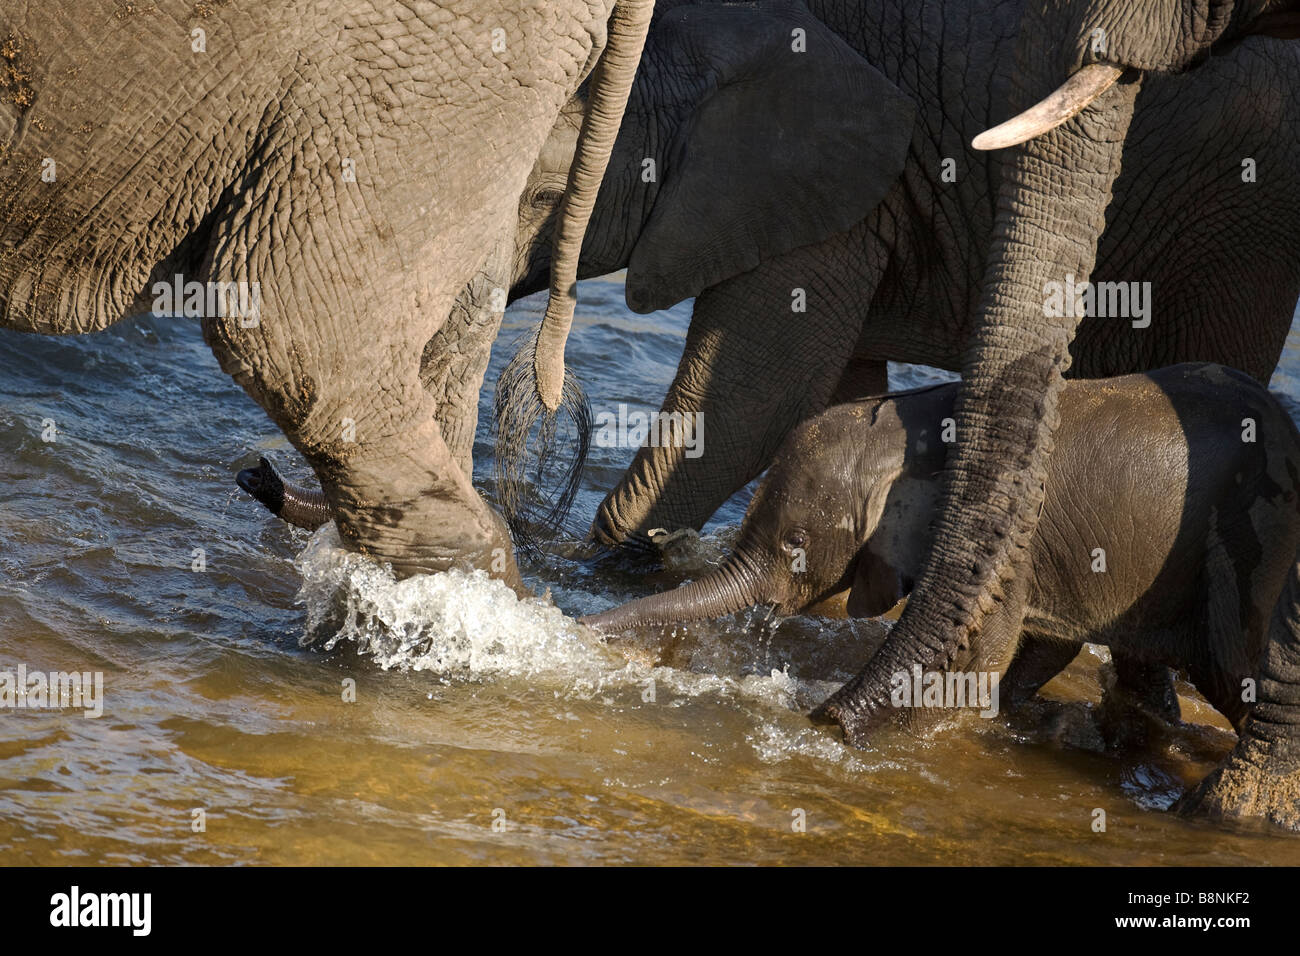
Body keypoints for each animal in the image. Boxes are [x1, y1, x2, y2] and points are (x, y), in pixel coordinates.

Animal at [582, 363, 1300, 828]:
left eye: (795, 541)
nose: (580, 628)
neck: (904, 426)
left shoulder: (1008, 541)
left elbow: (981, 655)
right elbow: (1041, 647)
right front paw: (1017, 722)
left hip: (1250, 551)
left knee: (1235, 672)